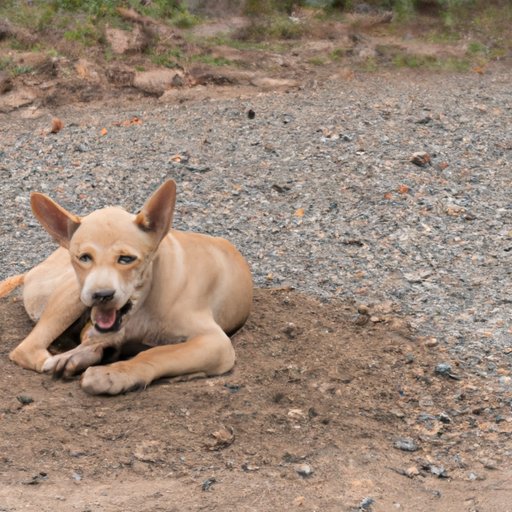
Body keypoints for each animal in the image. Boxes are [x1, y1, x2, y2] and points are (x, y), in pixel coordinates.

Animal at [0, 181, 252, 396]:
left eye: (126, 259)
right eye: (84, 257)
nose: (101, 295)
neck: (147, 303)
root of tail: (32, 271)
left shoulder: (216, 342)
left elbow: (158, 353)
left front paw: (114, 374)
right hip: (72, 292)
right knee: (28, 348)